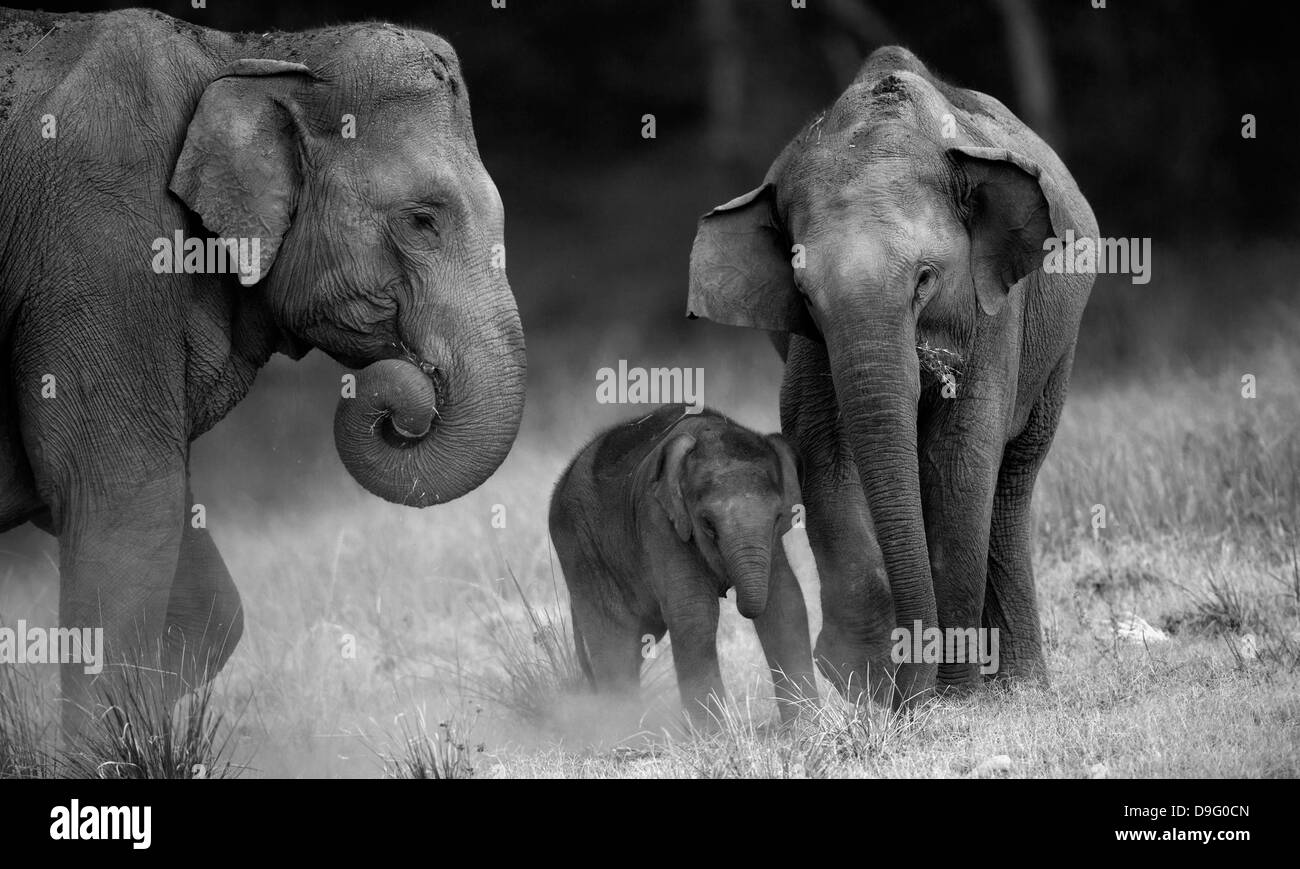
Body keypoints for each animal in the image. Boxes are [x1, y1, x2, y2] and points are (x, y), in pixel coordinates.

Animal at [0, 8, 525, 729]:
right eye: (422, 220)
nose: (408, 399)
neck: (246, 55)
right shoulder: (100, 254)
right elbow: (123, 498)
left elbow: (195, 579)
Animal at [549, 404, 817, 726]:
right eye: (707, 523)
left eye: (778, 517)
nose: (730, 592)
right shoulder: (658, 519)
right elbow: (694, 612)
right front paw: (713, 733)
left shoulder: (771, 542)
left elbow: (785, 603)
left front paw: (806, 727)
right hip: (581, 550)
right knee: (614, 639)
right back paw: (626, 729)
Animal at [687, 46, 1097, 706]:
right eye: (804, 293)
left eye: (925, 278)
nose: (910, 693)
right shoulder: (811, 345)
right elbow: (820, 444)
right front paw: (862, 673)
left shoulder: (996, 312)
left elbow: (961, 454)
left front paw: (953, 698)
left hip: (1061, 343)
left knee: (1013, 479)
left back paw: (1020, 687)